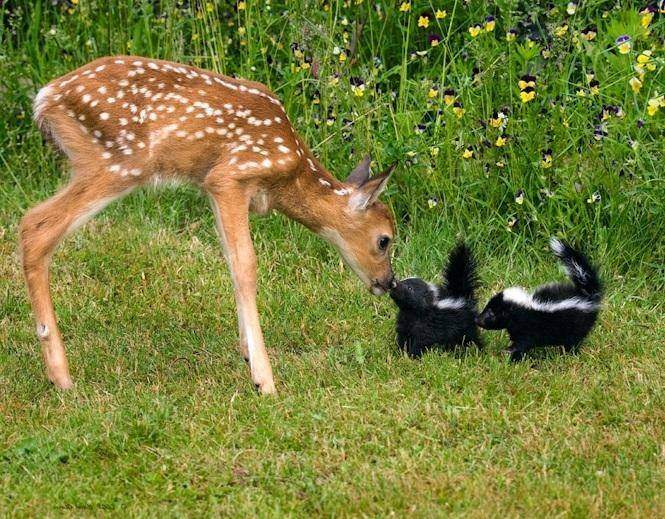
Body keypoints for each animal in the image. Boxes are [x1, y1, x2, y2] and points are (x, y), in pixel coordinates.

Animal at [21, 56, 397, 394]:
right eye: (384, 240)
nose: (389, 282)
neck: (289, 176)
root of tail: (45, 97)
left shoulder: (212, 187)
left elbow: (230, 261)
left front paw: (246, 353)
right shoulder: (231, 176)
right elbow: (246, 265)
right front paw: (264, 380)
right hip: (118, 161)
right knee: (34, 226)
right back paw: (61, 377)